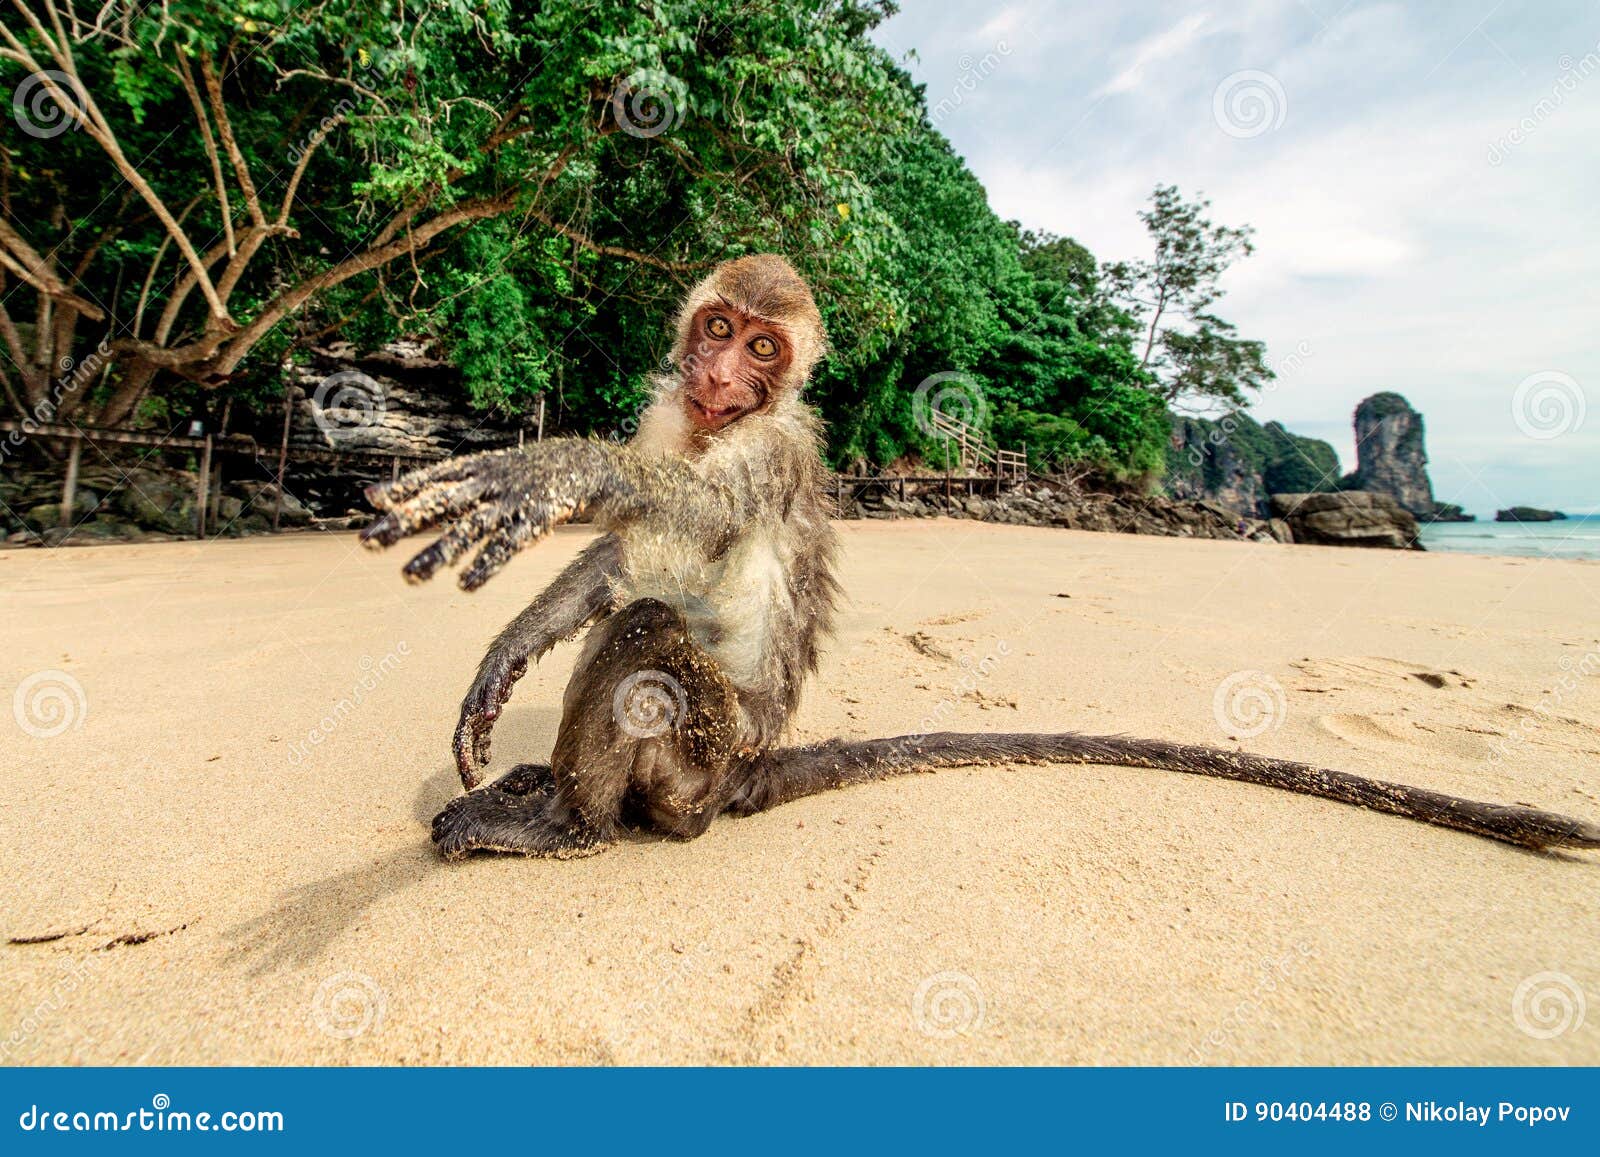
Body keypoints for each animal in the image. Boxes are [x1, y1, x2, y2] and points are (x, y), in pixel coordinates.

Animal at [360, 254, 1600, 859]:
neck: (718, 425)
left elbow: (674, 542)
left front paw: (541, 470)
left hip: (705, 760)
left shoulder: (768, 450)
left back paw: (572, 819)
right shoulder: (675, 419)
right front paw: (511, 645)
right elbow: (630, 549)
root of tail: (756, 765)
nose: (721, 372)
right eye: (715, 332)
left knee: (653, 641)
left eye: (763, 349)